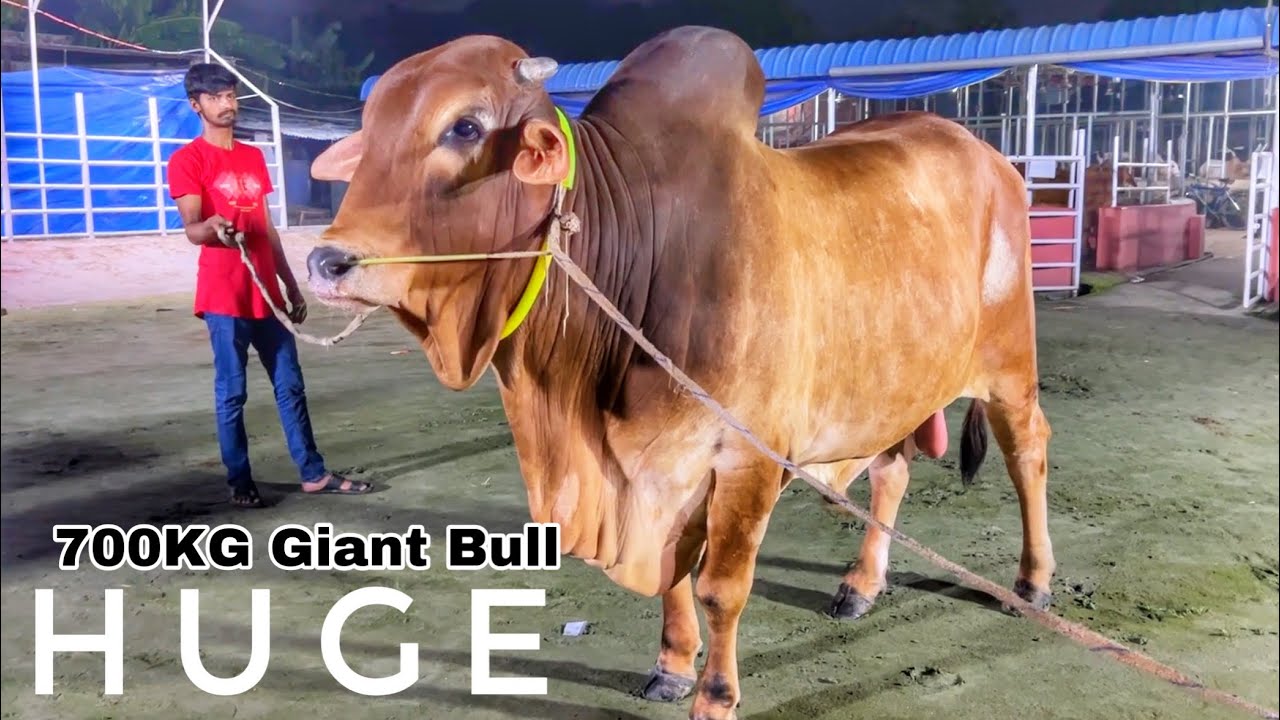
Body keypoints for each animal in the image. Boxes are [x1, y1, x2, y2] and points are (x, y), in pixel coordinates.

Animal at [305, 26, 1056, 720]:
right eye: (372, 130)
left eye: (465, 126)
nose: (326, 261)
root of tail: (988, 154)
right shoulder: (658, 472)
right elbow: (672, 574)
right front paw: (670, 667)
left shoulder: (747, 459)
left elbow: (720, 587)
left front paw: (715, 695)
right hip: (892, 386)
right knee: (892, 471)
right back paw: (861, 585)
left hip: (1009, 366)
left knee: (1028, 453)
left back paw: (1033, 581)